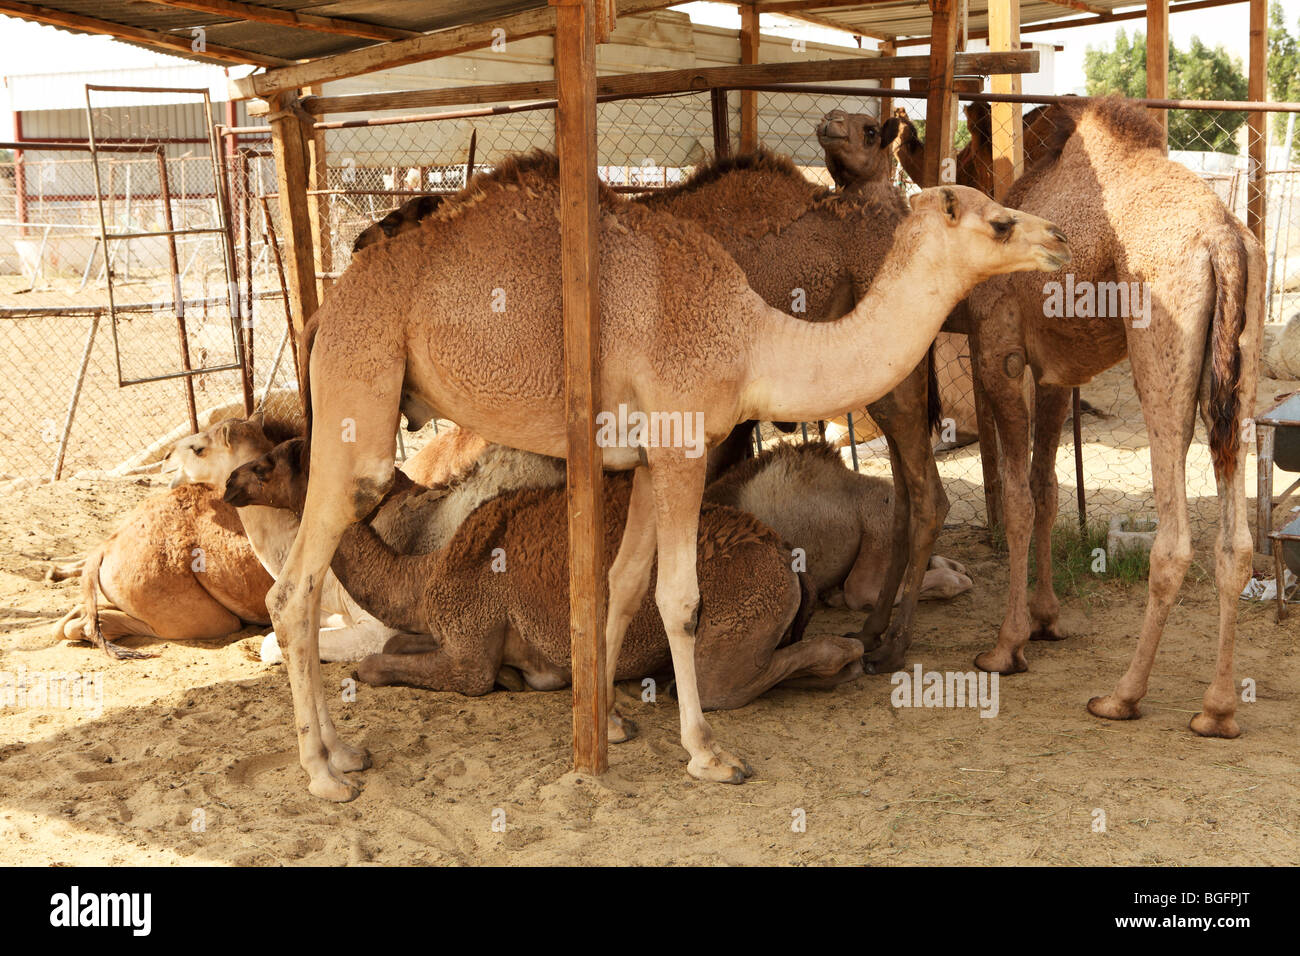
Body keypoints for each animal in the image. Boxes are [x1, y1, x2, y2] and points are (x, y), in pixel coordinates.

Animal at [271, 149, 1068, 800]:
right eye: (1000, 223)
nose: (1058, 239)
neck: (752, 342)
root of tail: (321, 313)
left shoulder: (652, 459)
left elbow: (622, 584)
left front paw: (610, 722)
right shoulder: (685, 446)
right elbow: (679, 599)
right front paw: (708, 754)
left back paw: (345, 753)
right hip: (360, 391)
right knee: (295, 587)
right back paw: (322, 774)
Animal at [962, 98, 1263, 741]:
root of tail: (1224, 238)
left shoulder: (999, 350)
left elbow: (1019, 500)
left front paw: (1006, 647)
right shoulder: (1056, 371)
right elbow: (1048, 488)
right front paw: (1047, 620)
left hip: (1160, 351)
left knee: (1173, 542)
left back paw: (1121, 696)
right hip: (1240, 381)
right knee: (1236, 540)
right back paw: (1217, 710)